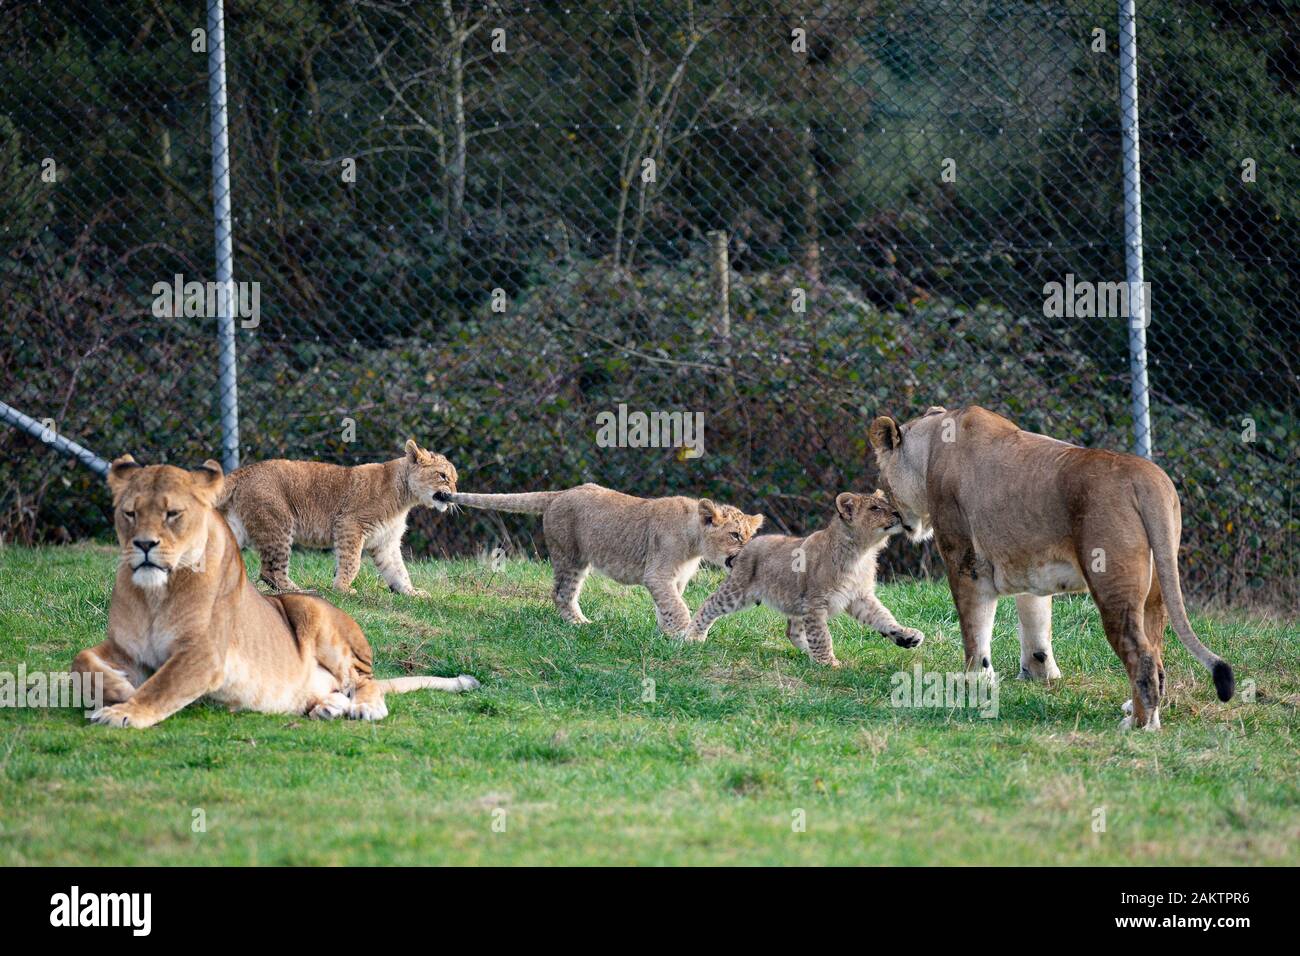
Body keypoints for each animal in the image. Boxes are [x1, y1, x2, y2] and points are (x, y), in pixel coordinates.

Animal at [218, 439, 456, 597]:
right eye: (443, 476)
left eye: (455, 479)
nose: (454, 494)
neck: (404, 499)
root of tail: (246, 470)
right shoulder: (349, 524)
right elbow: (352, 561)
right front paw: (342, 588)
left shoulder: (386, 542)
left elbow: (398, 571)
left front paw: (411, 593)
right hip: (279, 525)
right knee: (270, 571)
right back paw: (303, 591)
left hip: (239, 526)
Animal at [453, 485, 764, 635]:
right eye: (735, 535)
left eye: (750, 535)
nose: (750, 552)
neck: (695, 540)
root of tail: (561, 492)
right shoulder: (657, 574)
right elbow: (676, 606)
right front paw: (683, 633)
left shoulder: (675, 580)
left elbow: (666, 605)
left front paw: (666, 632)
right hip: (571, 556)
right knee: (561, 593)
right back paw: (580, 624)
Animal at [683, 490, 924, 667]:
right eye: (875, 508)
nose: (898, 513)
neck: (862, 552)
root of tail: (746, 545)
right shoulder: (816, 601)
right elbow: (822, 634)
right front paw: (828, 663)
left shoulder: (859, 597)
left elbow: (883, 616)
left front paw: (906, 635)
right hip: (739, 591)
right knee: (710, 603)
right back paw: (692, 636)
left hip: (797, 601)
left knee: (793, 631)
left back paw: (808, 654)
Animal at [868, 405, 1234, 729]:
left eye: (882, 481)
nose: (892, 514)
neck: (931, 448)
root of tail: (1149, 479)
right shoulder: (1029, 564)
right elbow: (1035, 623)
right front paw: (1038, 675)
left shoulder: (966, 563)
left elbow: (975, 632)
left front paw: (974, 683)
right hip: (1156, 591)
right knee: (1156, 652)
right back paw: (1139, 712)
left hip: (1113, 584)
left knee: (1140, 653)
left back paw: (1140, 725)